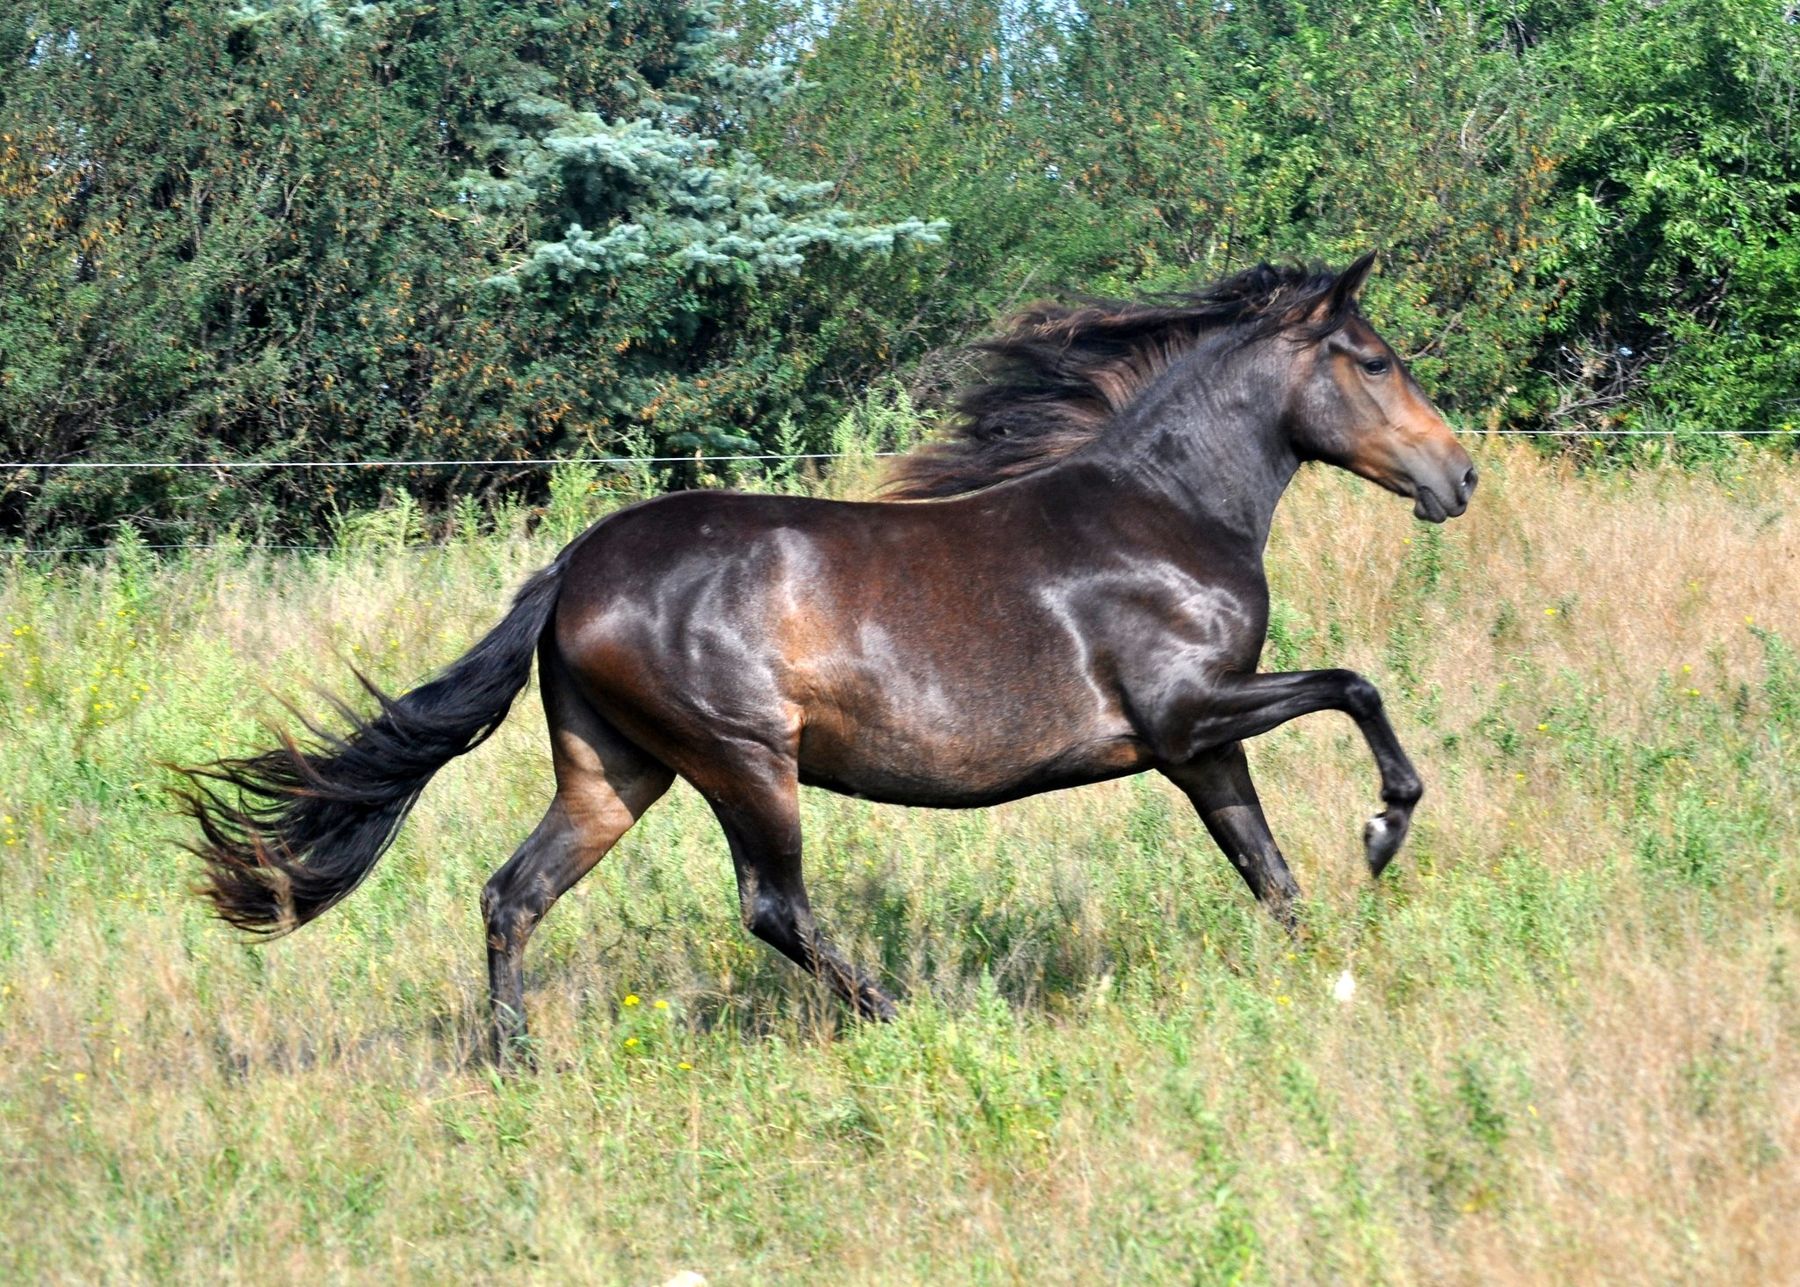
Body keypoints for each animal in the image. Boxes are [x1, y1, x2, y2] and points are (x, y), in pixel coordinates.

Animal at [178, 253, 1476, 1061]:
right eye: (1372, 358)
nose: (1457, 476)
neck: (1166, 513)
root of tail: (574, 569)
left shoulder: (1200, 748)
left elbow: (1269, 871)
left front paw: (1330, 970)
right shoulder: (1190, 713)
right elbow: (1355, 688)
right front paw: (1384, 829)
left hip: (614, 772)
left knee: (515, 892)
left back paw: (515, 1063)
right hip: (746, 762)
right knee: (772, 907)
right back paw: (900, 1014)